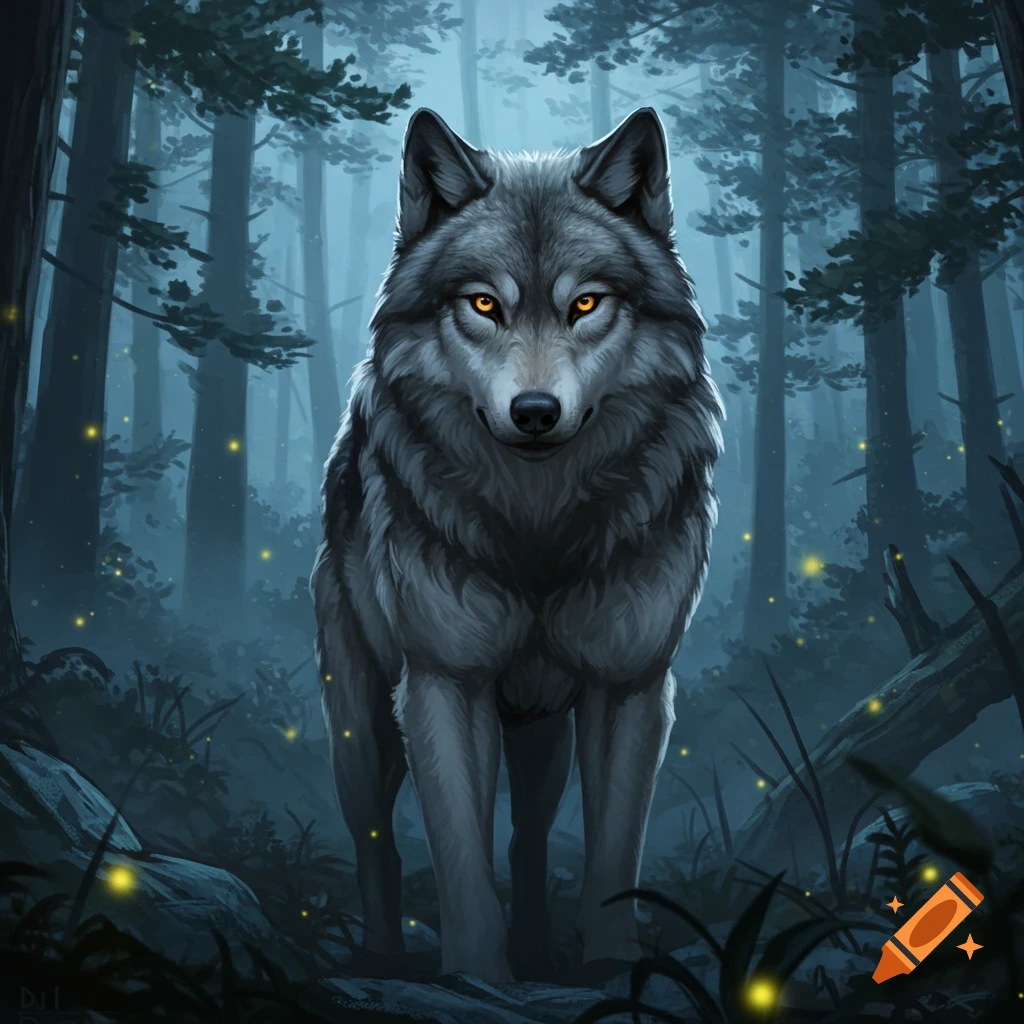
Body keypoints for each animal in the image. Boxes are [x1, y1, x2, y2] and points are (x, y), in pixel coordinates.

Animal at [310, 106, 723, 983]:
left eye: (587, 303)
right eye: (484, 305)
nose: (535, 412)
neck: (539, 532)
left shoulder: (629, 686)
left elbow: (612, 852)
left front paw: (607, 965)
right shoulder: (442, 683)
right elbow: (460, 857)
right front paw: (475, 976)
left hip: (542, 735)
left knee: (528, 837)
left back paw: (537, 944)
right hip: (360, 727)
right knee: (376, 846)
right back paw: (382, 955)